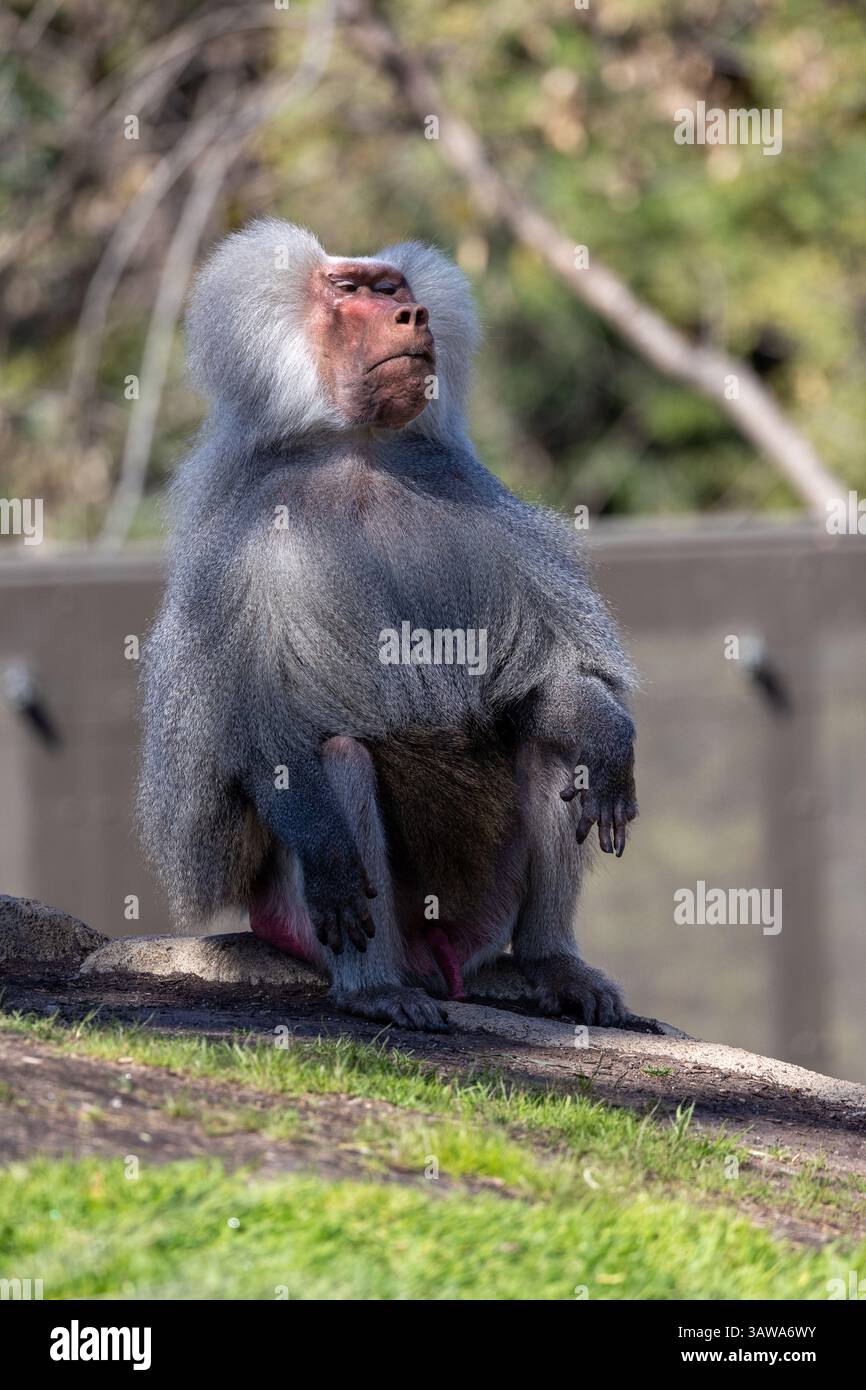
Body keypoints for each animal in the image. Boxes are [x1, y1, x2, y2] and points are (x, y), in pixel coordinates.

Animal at [139, 217, 638, 1032]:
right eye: (349, 291)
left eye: (392, 287)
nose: (414, 316)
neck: (361, 456)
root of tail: (438, 964)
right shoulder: (243, 544)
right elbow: (258, 734)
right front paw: (328, 851)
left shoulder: (475, 501)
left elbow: (556, 685)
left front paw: (608, 732)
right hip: (299, 920)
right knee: (337, 761)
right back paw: (375, 992)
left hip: (481, 917)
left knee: (552, 748)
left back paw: (554, 965)